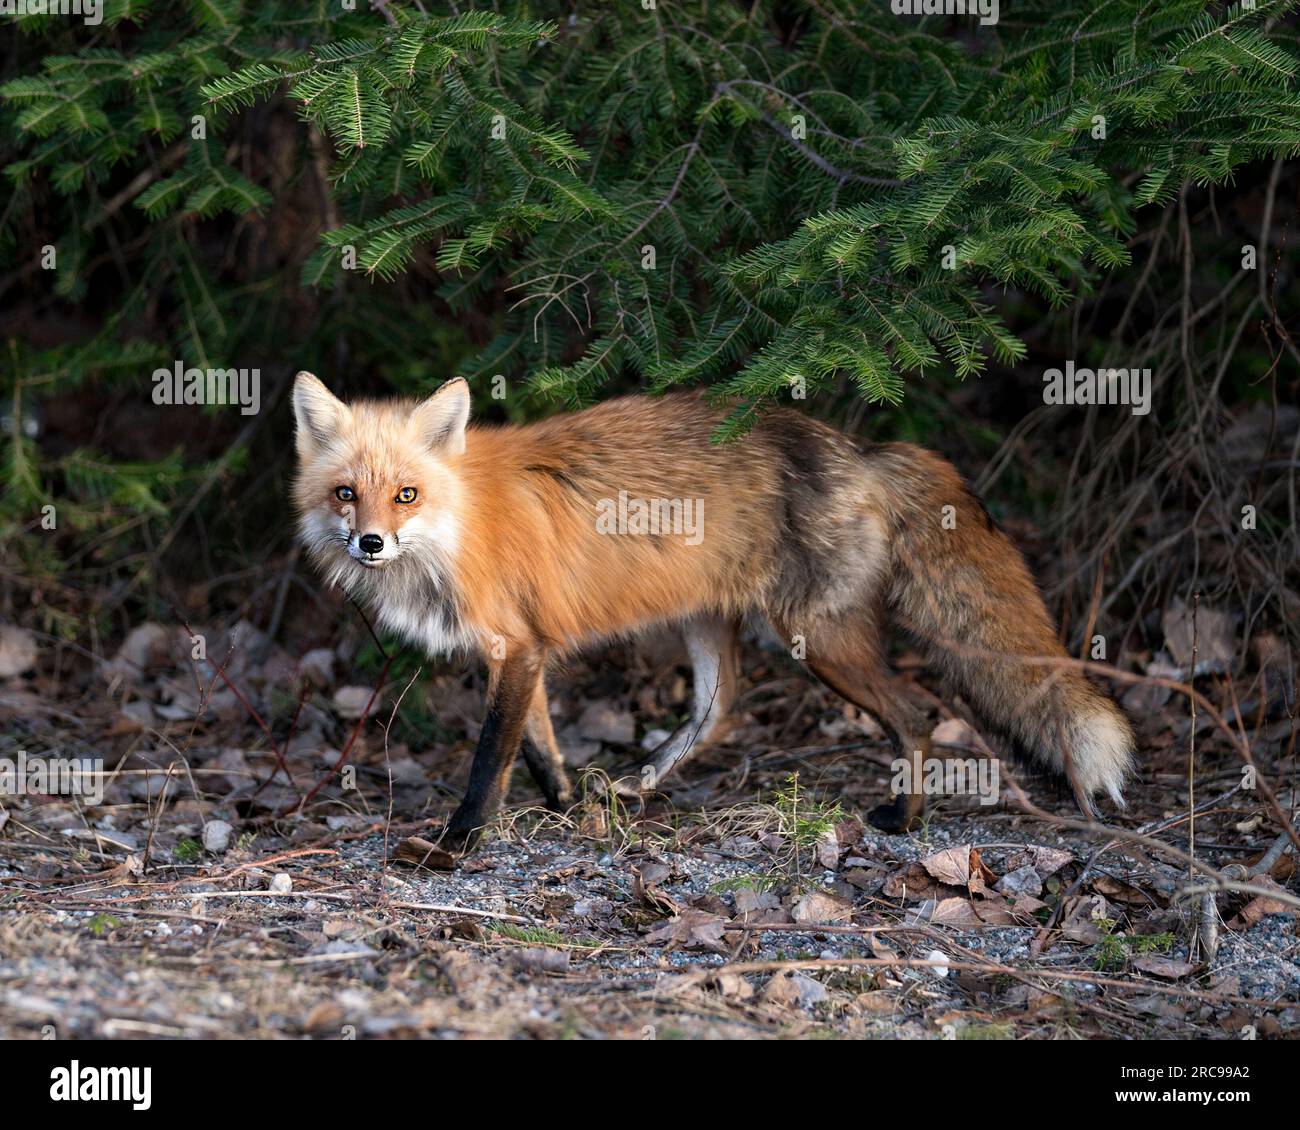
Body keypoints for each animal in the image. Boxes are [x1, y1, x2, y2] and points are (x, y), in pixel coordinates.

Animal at [291, 371, 1135, 857]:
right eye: (346, 494)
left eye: (406, 495)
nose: (369, 542)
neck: (458, 524)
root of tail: (859, 448)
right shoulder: (518, 650)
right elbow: (538, 750)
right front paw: (565, 809)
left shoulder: (518, 651)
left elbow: (489, 761)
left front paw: (459, 844)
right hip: (708, 621)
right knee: (721, 709)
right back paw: (637, 787)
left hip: (817, 639)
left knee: (918, 713)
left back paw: (907, 819)